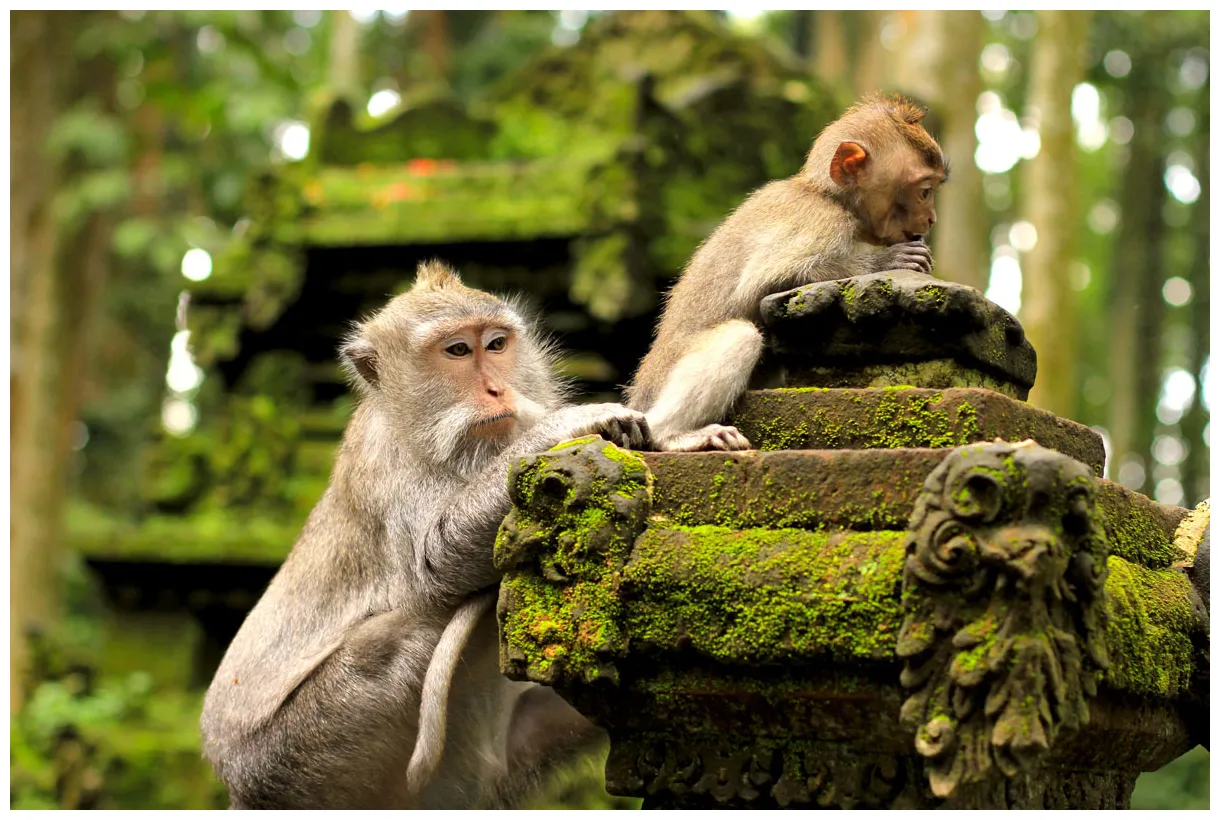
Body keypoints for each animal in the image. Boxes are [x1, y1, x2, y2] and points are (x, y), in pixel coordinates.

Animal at [200, 260, 651, 809]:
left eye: (495, 344)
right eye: (457, 351)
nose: (497, 391)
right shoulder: (385, 462)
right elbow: (436, 561)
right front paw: (569, 424)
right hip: (294, 759)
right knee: (398, 634)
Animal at [625, 92, 948, 452]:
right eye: (924, 191)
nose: (931, 218)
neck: (828, 195)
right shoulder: (822, 220)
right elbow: (764, 281)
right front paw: (887, 261)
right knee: (741, 336)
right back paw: (671, 434)